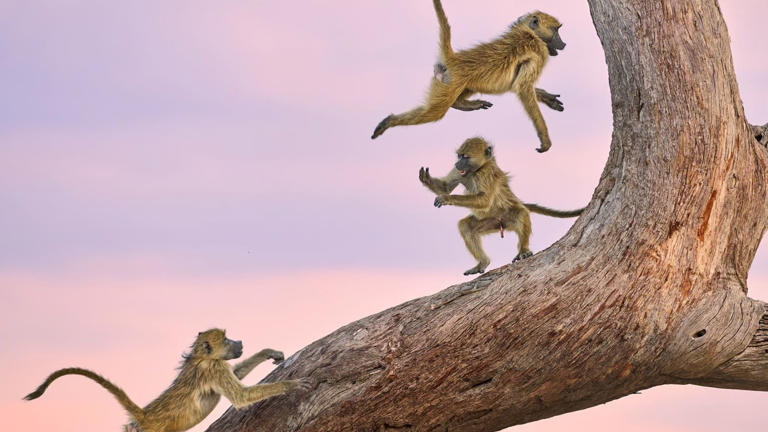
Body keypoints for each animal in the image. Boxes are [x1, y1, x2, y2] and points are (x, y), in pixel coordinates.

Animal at [24, 328, 311, 432]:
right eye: (226, 339)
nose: (239, 342)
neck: (200, 358)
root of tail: (145, 416)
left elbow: (238, 375)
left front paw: (268, 353)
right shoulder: (214, 368)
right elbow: (241, 397)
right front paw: (293, 385)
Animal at [372, 0, 566, 153]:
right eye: (556, 31)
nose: (563, 43)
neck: (529, 33)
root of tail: (454, 59)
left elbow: (518, 86)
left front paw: (547, 97)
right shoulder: (539, 52)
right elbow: (523, 88)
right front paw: (545, 140)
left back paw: (462, 104)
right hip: (450, 82)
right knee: (433, 113)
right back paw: (389, 121)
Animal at [419, 137, 584, 275]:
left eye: (465, 157)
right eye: (459, 156)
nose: (456, 163)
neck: (478, 169)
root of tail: (501, 222)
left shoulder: (486, 173)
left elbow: (484, 200)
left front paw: (446, 198)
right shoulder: (459, 172)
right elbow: (446, 187)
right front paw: (426, 179)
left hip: (508, 214)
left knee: (521, 213)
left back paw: (523, 250)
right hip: (491, 222)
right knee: (466, 226)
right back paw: (482, 262)